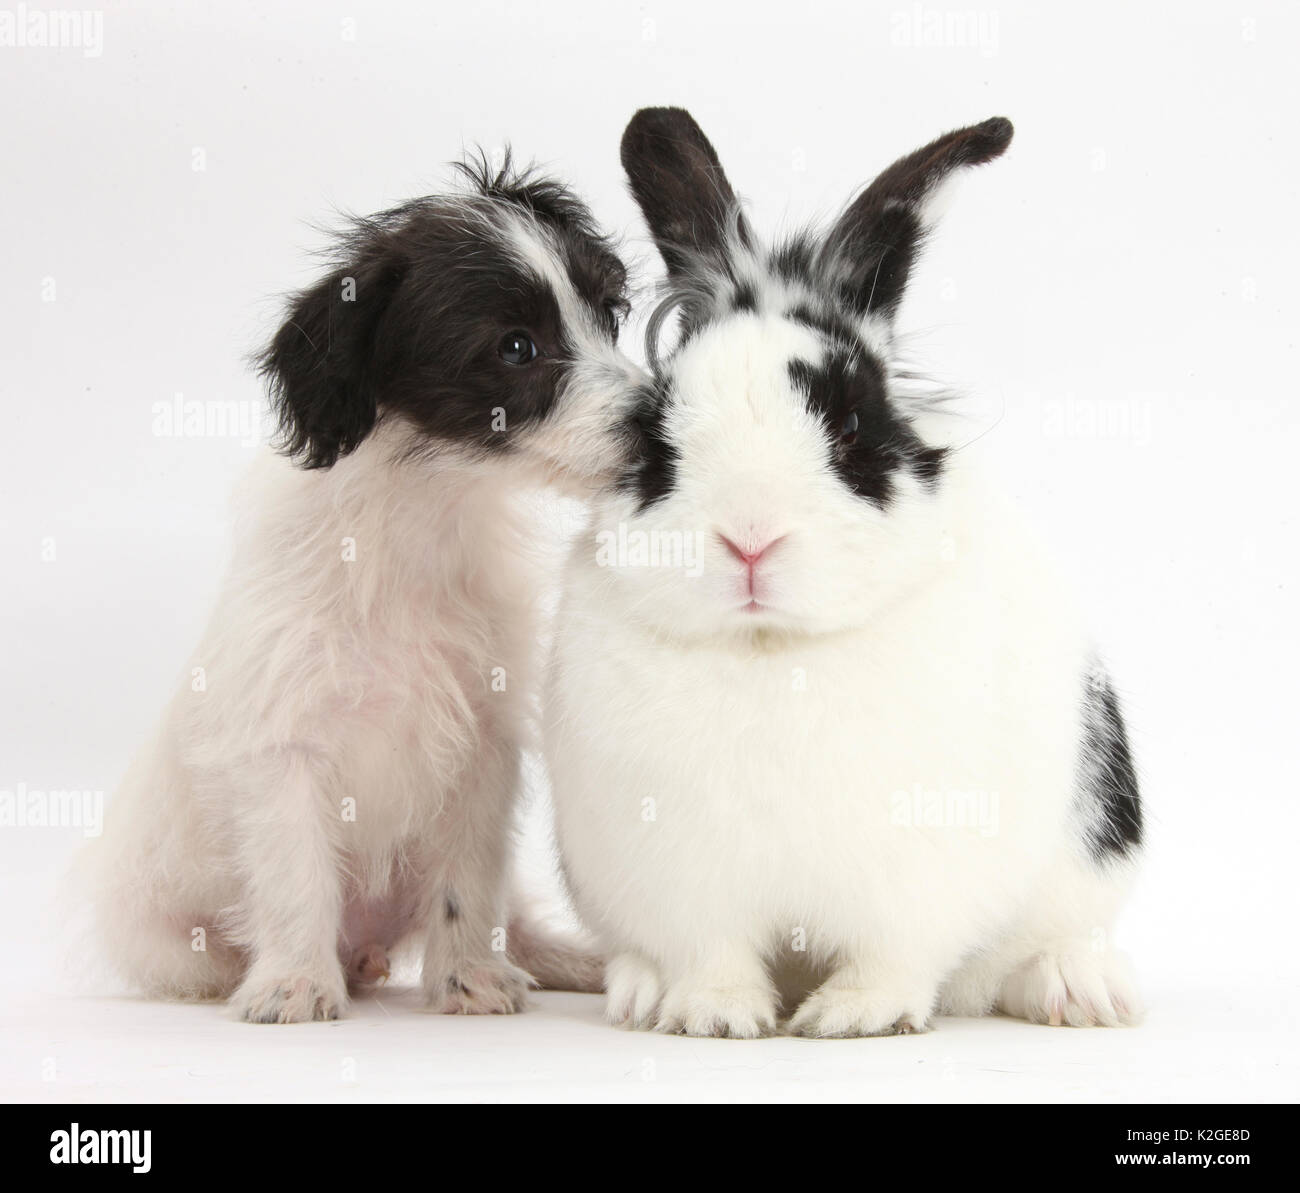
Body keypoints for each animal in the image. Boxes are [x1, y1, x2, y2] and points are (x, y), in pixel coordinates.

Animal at [85, 152, 646, 1022]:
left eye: (607, 315)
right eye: (517, 347)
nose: (659, 417)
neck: (421, 512)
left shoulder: (481, 743)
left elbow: (468, 885)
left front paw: (466, 977)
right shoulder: (283, 747)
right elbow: (295, 876)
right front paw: (293, 982)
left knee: (512, 920)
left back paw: (568, 960)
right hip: (165, 942)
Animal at [543, 108, 1144, 1038]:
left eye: (854, 427)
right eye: (656, 435)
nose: (750, 538)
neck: (775, 649)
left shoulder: (918, 873)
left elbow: (892, 953)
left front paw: (854, 1016)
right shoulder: (679, 877)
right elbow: (710, 952)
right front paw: (715, 1015)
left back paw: (1080, 992)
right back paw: (637, 992)